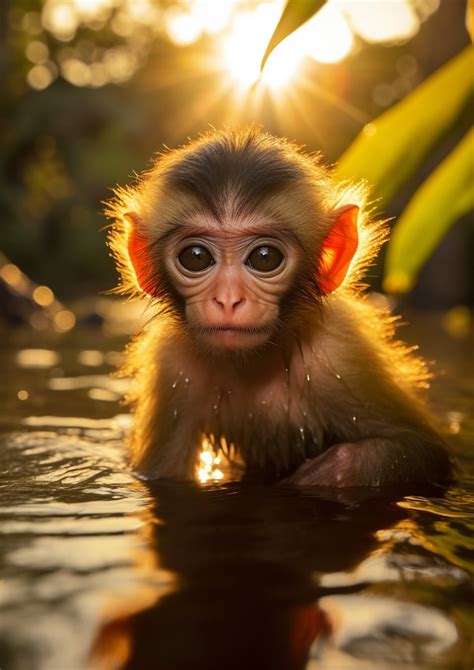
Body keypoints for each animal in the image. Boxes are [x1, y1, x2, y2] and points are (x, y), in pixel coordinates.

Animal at [106, 127, 451, 488]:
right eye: (196, 257)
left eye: (264, 257)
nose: (228, 299)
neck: (255, 364)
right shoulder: (171, 365)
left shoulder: (342, 354)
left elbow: (424, 449)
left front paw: (333, 470)